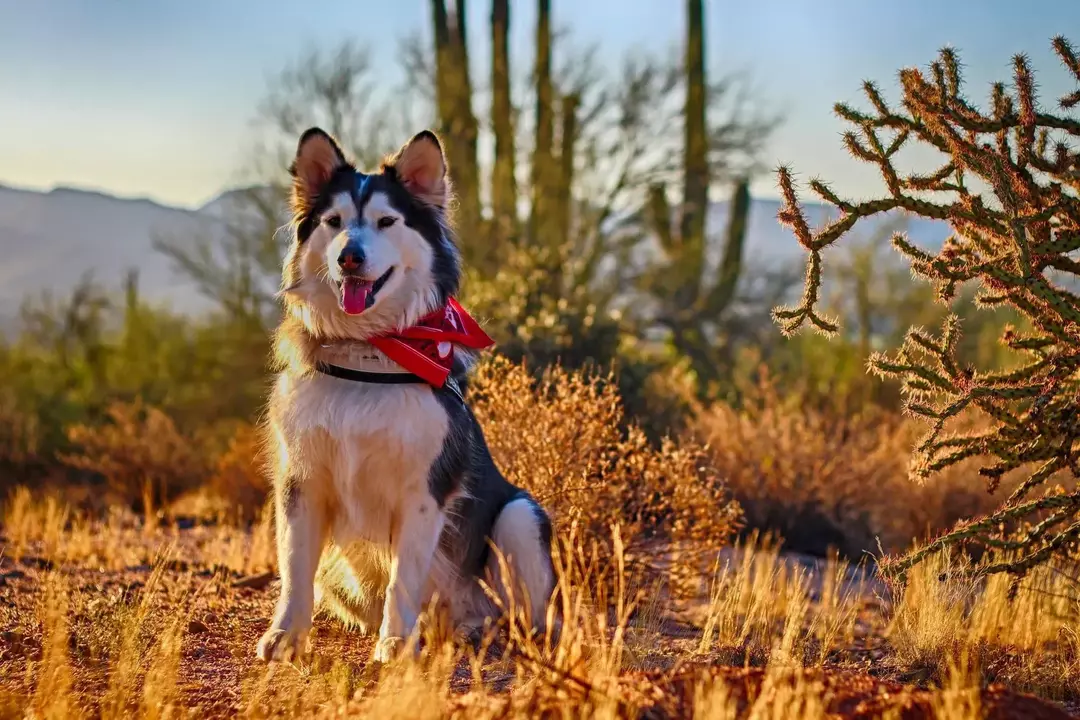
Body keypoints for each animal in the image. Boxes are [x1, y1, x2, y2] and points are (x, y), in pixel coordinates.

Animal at [254, 125, 557, 664]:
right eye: (334, 222)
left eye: (386, 221)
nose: (349, 256)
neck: (366, 354)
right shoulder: (301, 483)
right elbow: (294, 571)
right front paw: (285, 635)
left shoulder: (421, 493)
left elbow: (402, 581)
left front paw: (395, 643)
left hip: (520, 518)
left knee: (520, 615)